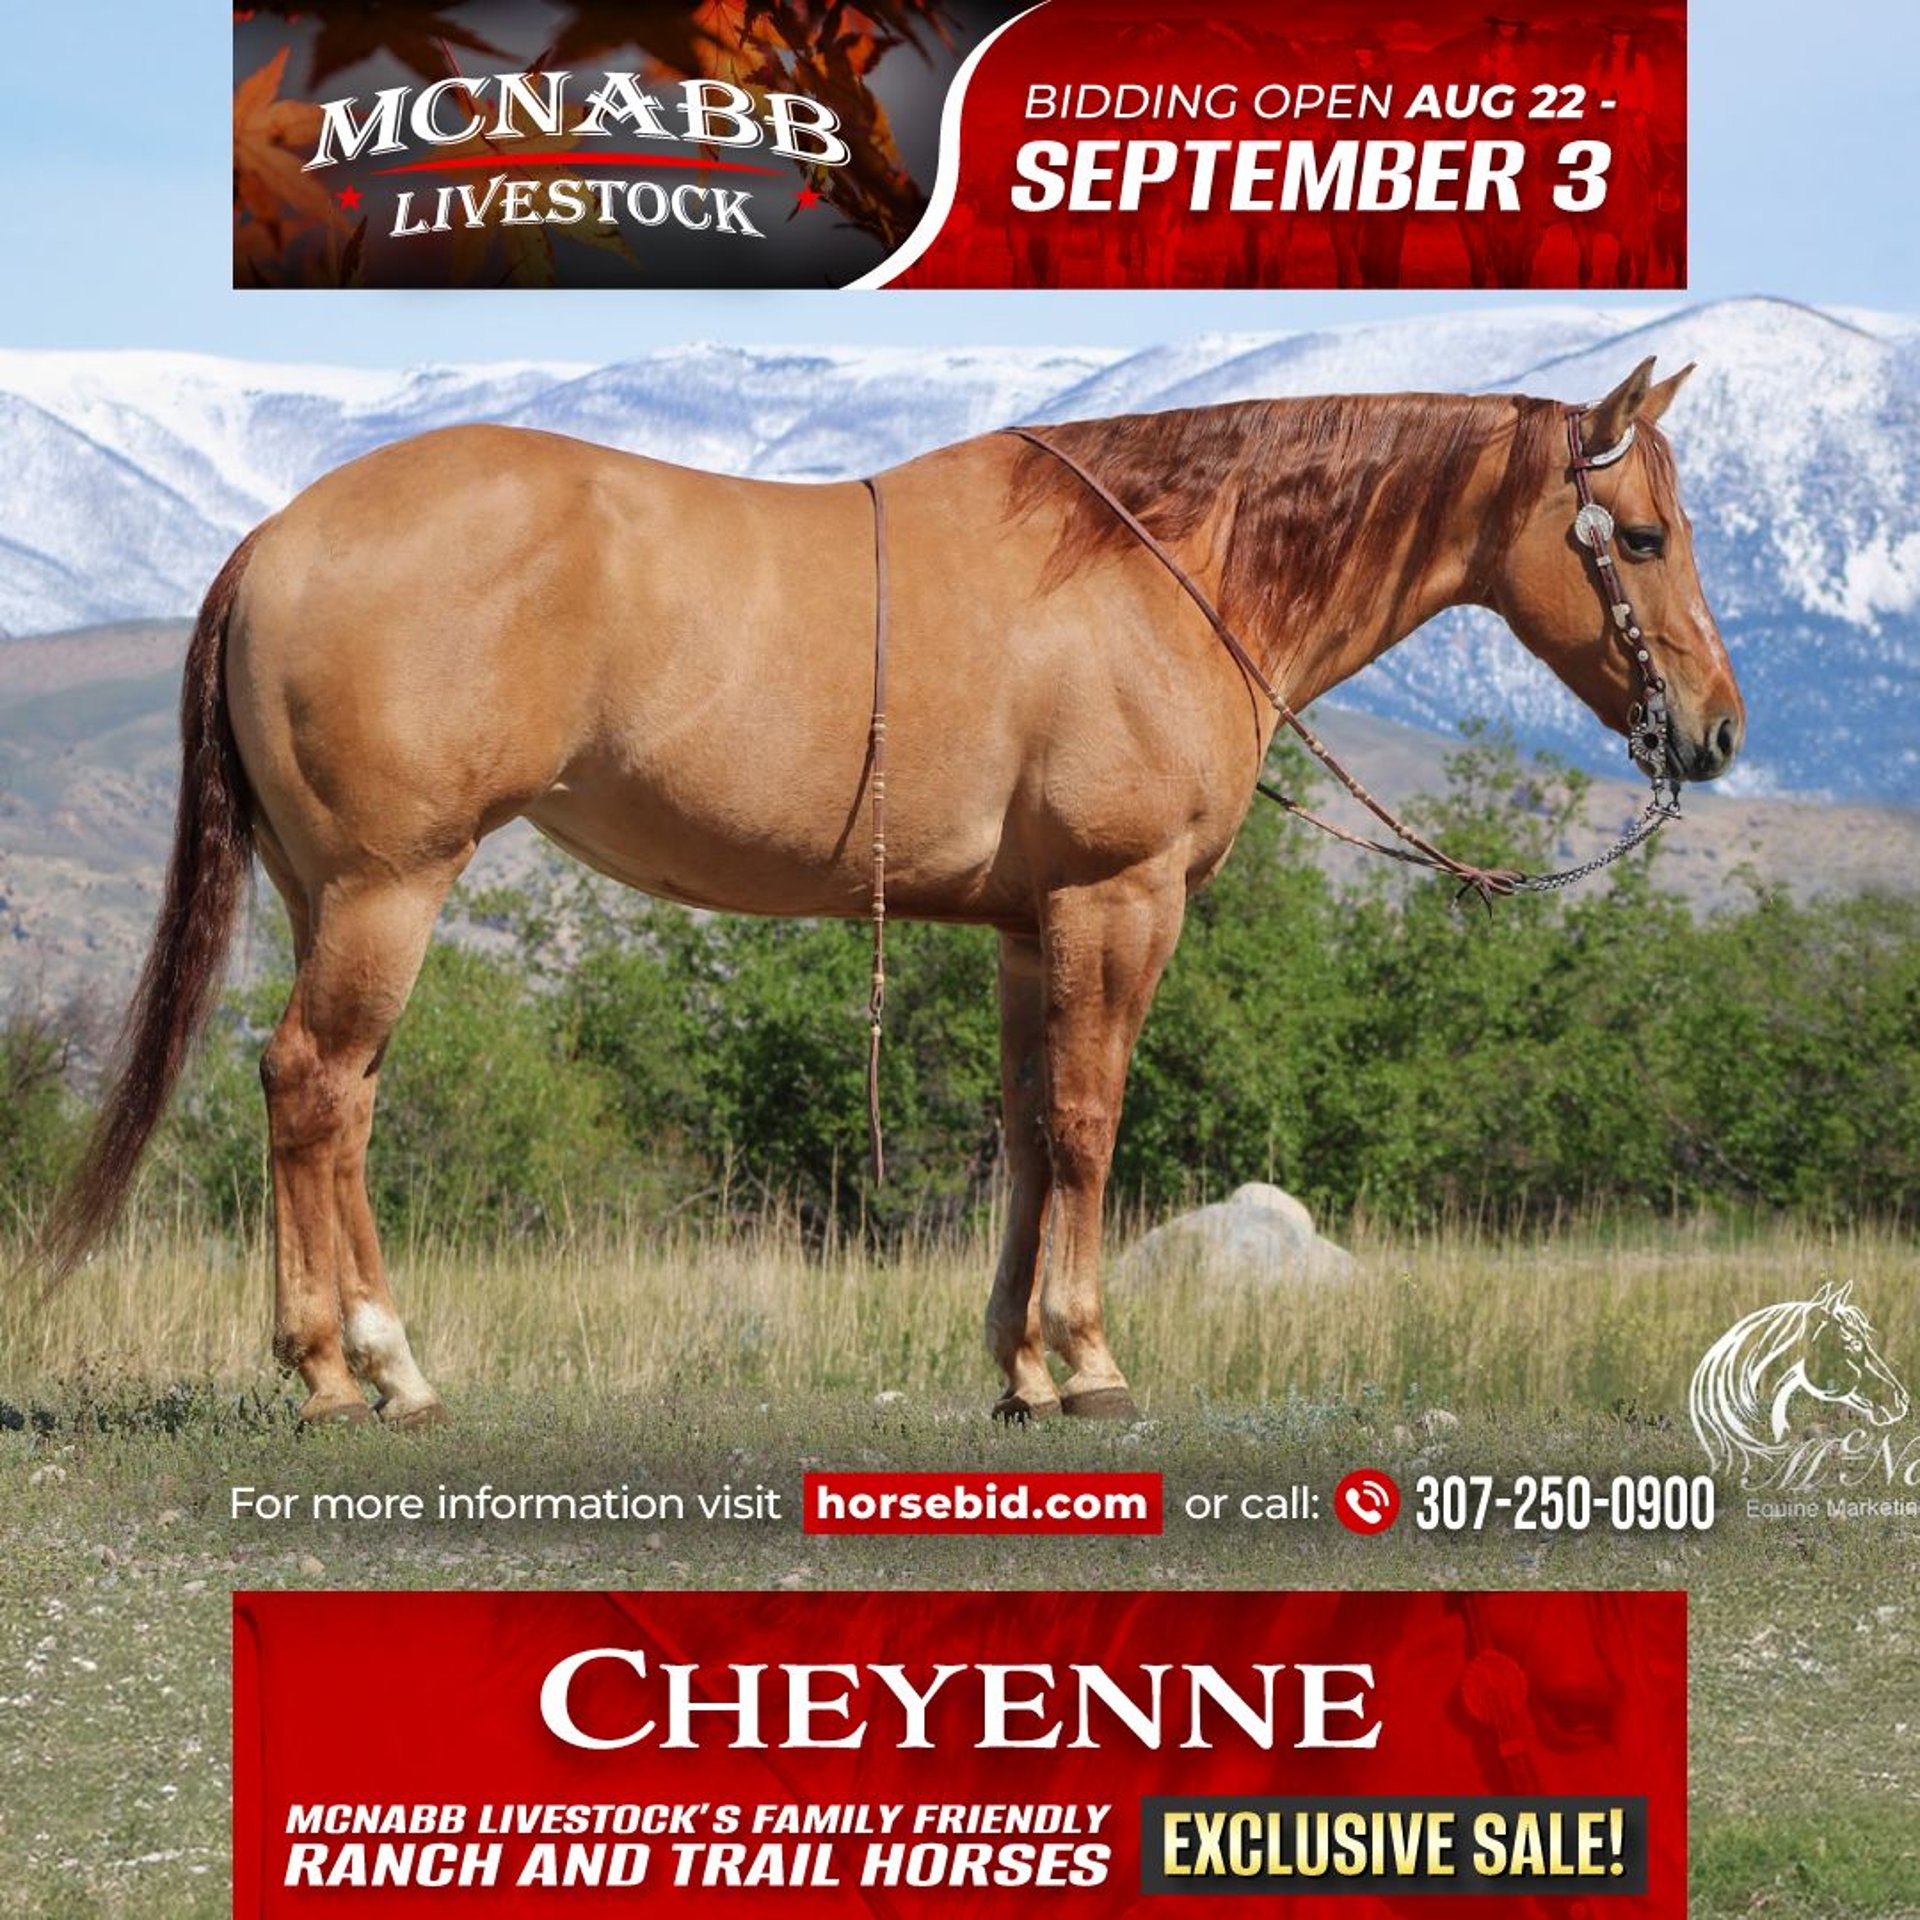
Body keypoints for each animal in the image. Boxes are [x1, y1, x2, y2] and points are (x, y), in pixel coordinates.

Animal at [48, 356, 1743, 1427]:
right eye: (1641, 535)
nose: (1717, 733)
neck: (1165, 571)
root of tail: (277, 537)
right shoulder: (1118, 904)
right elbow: (1089, 1124)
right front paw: (1091, 1363)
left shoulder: (1029, 929)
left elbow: (1028, 1133)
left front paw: (1021, 1370)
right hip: (387, 890)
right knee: (311, 1085)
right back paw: (347, 1374)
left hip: (334, 890)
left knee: (340, 1100)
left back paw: (382, 1369)